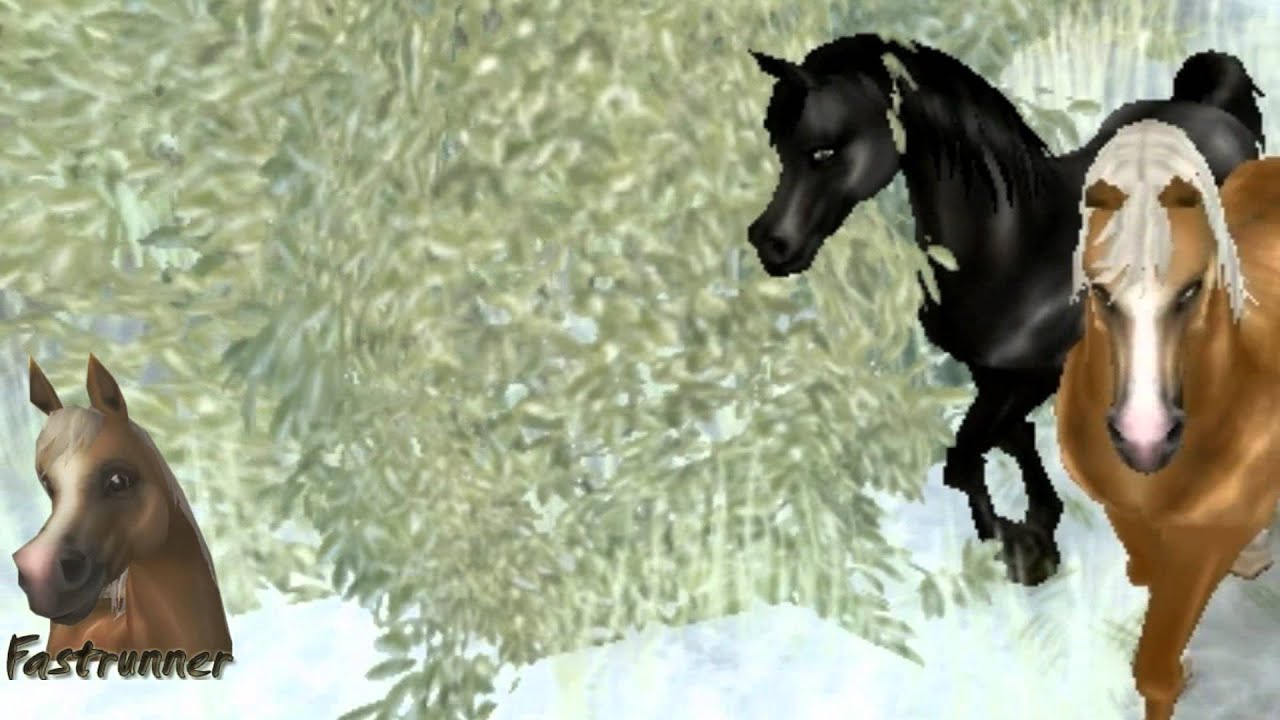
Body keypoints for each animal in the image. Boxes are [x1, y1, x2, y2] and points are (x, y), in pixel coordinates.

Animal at [745, 34, 1265, 585]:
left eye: (823, 151)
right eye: (779, 145)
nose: (769, 243)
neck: (1017, 247)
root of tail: (1207, 109)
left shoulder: (1037, 376)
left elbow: (963, 458)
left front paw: (1019, 547)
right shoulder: (992, 374)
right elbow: (1007, 442)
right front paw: (1038, 530)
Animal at [1057, 120, 1280, 720]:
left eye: (1192, 288)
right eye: (1100, 290)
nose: (1145, 439)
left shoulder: (1202, 546)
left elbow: (1155, 671)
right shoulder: (1124, 512)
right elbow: (1146, 569)